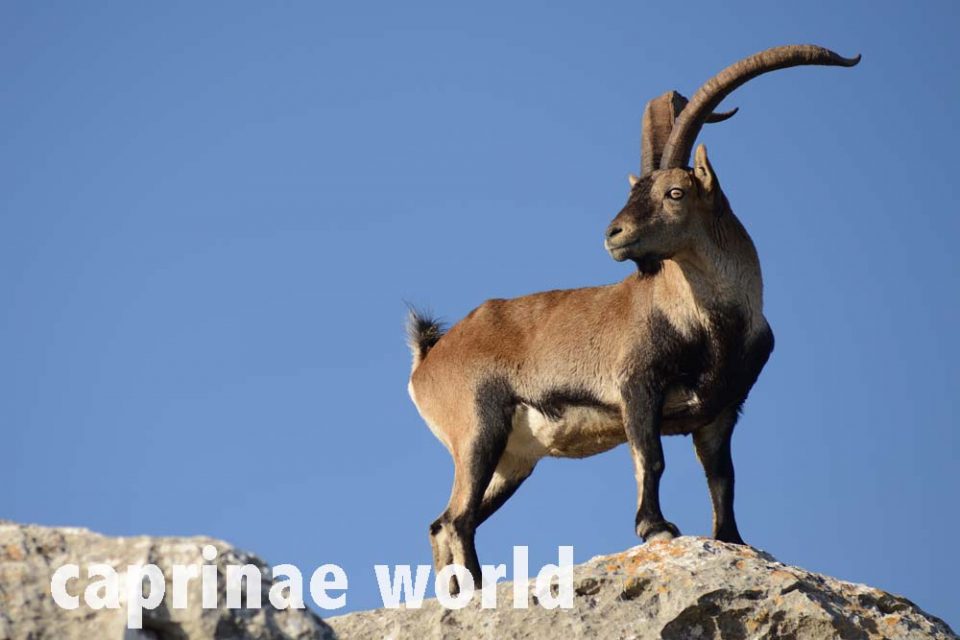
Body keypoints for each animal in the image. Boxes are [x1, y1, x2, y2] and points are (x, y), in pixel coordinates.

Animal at [406, 45, 860, 590]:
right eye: (637, 191)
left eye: (674, 193)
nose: (613, 233)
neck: (712, 325)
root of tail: (429, 356)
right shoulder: (637, 387)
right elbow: (652, 459)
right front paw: (656, 527)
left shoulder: (724, 410)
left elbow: (723, 478)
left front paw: (733, 540)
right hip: (477, 431)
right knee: (457, 519)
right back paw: (475, 591)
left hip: (512, 459)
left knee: (442, 523)